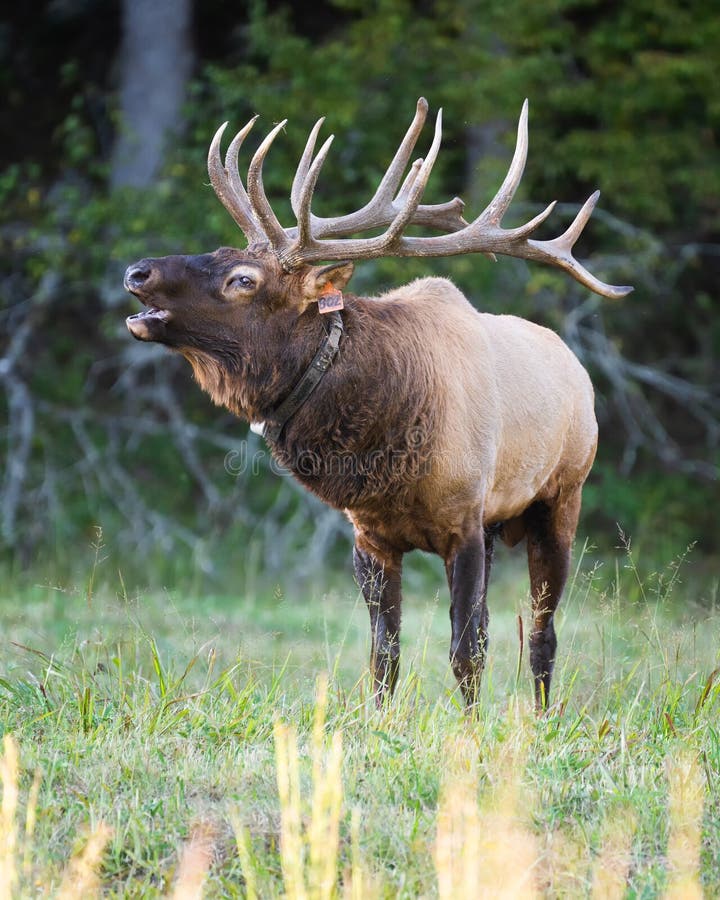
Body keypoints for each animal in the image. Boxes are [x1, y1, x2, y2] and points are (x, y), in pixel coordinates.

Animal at [124, 98, 632, 711]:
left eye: (242, 279)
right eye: (220, 250)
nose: (137, 271)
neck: (386, 451)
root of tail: (578, 369)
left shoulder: (465, 521)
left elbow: (466, 652)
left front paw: (470, 728)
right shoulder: (371, 536)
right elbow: (384, 656)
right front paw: (381, 721)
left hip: (561, 498)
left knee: (541, 633)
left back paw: (540, 718)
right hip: (501, 522)